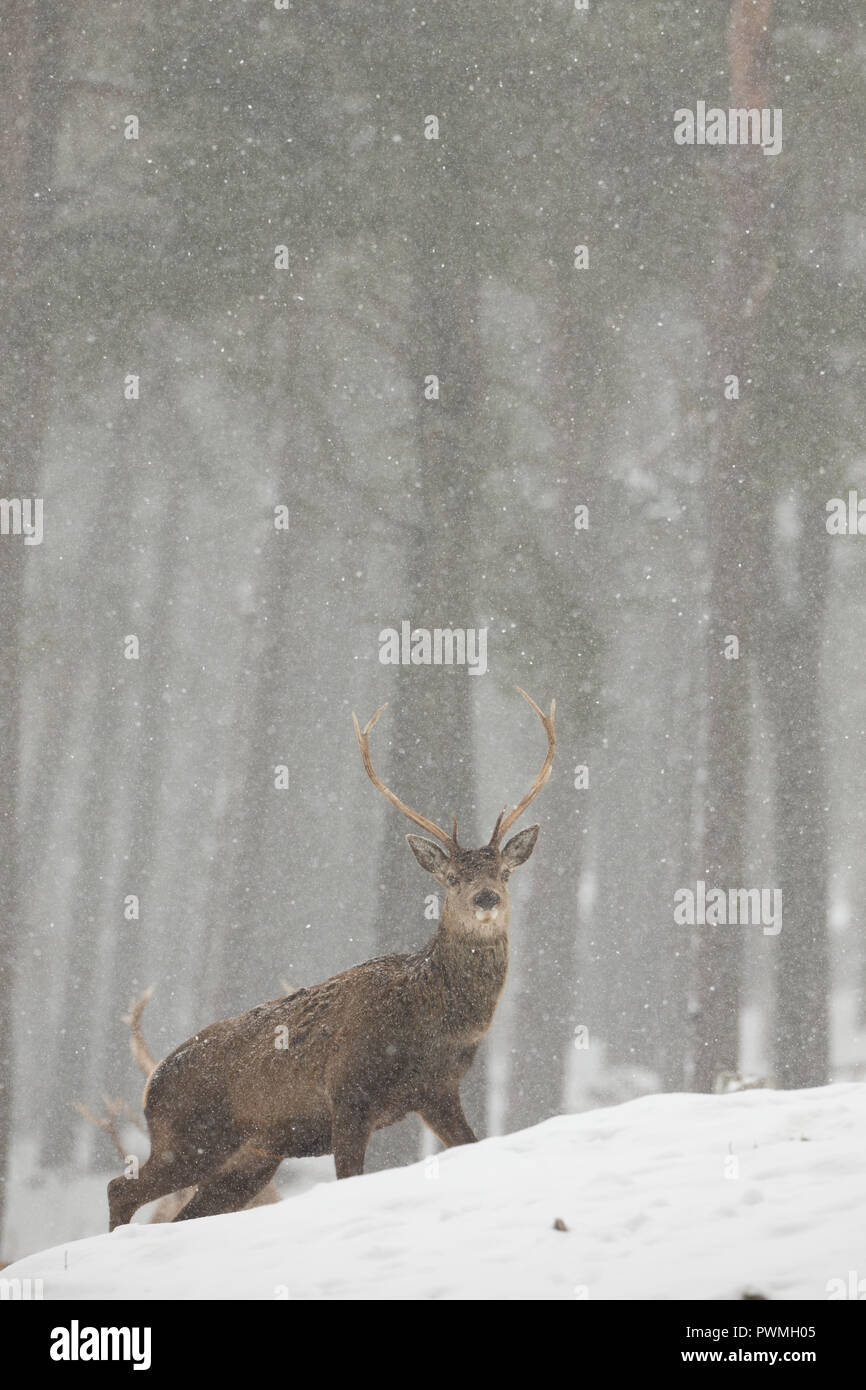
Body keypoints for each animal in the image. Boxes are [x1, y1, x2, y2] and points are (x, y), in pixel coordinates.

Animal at [108, 687, 555, 1229]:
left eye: (505, 872)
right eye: (450, 878)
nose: (486, 898)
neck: (428, 1024)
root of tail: (151, 1085)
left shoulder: (438, 1092)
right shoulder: (347, 1096)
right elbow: (349, 1179)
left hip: (250, 1157)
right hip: (192, 1137)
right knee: (119, 1189)